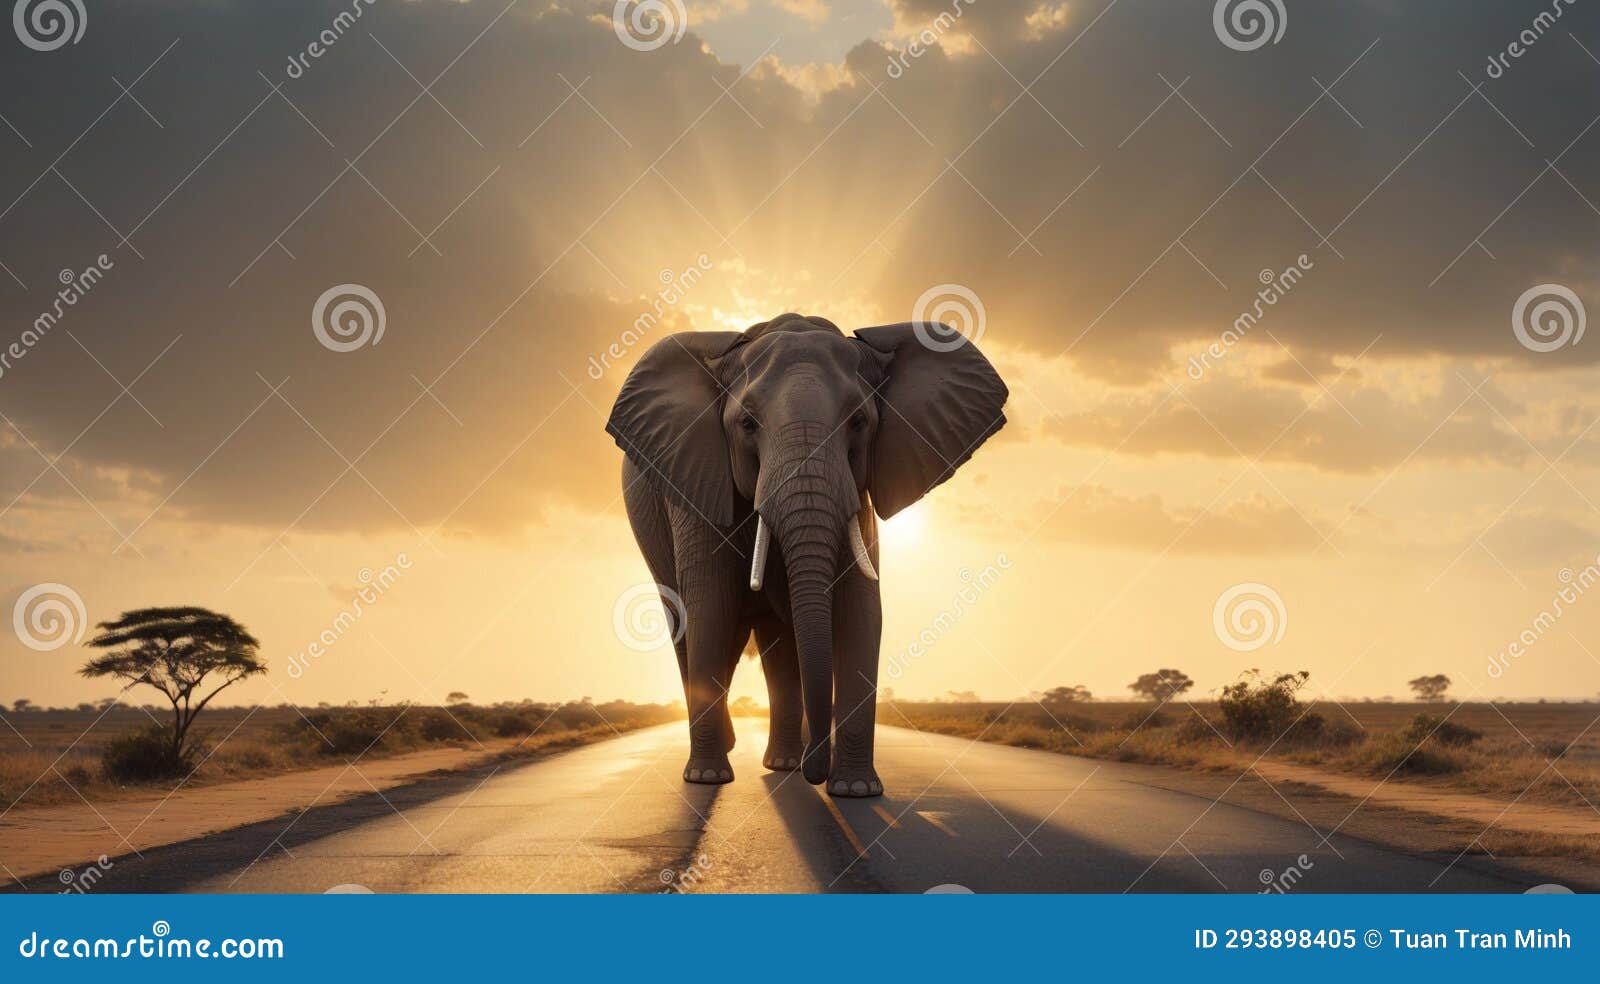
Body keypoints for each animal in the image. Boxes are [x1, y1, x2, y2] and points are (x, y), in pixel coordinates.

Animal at [605, 313, 1007, 796]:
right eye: (747, 424)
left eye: (858, 421)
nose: (817, 772)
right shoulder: (696, 480)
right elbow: (710, 606)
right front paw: (707, 779)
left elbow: (860, 610)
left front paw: (856, 791)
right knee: (687, 627)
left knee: (777, 642)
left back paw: (781, 765)